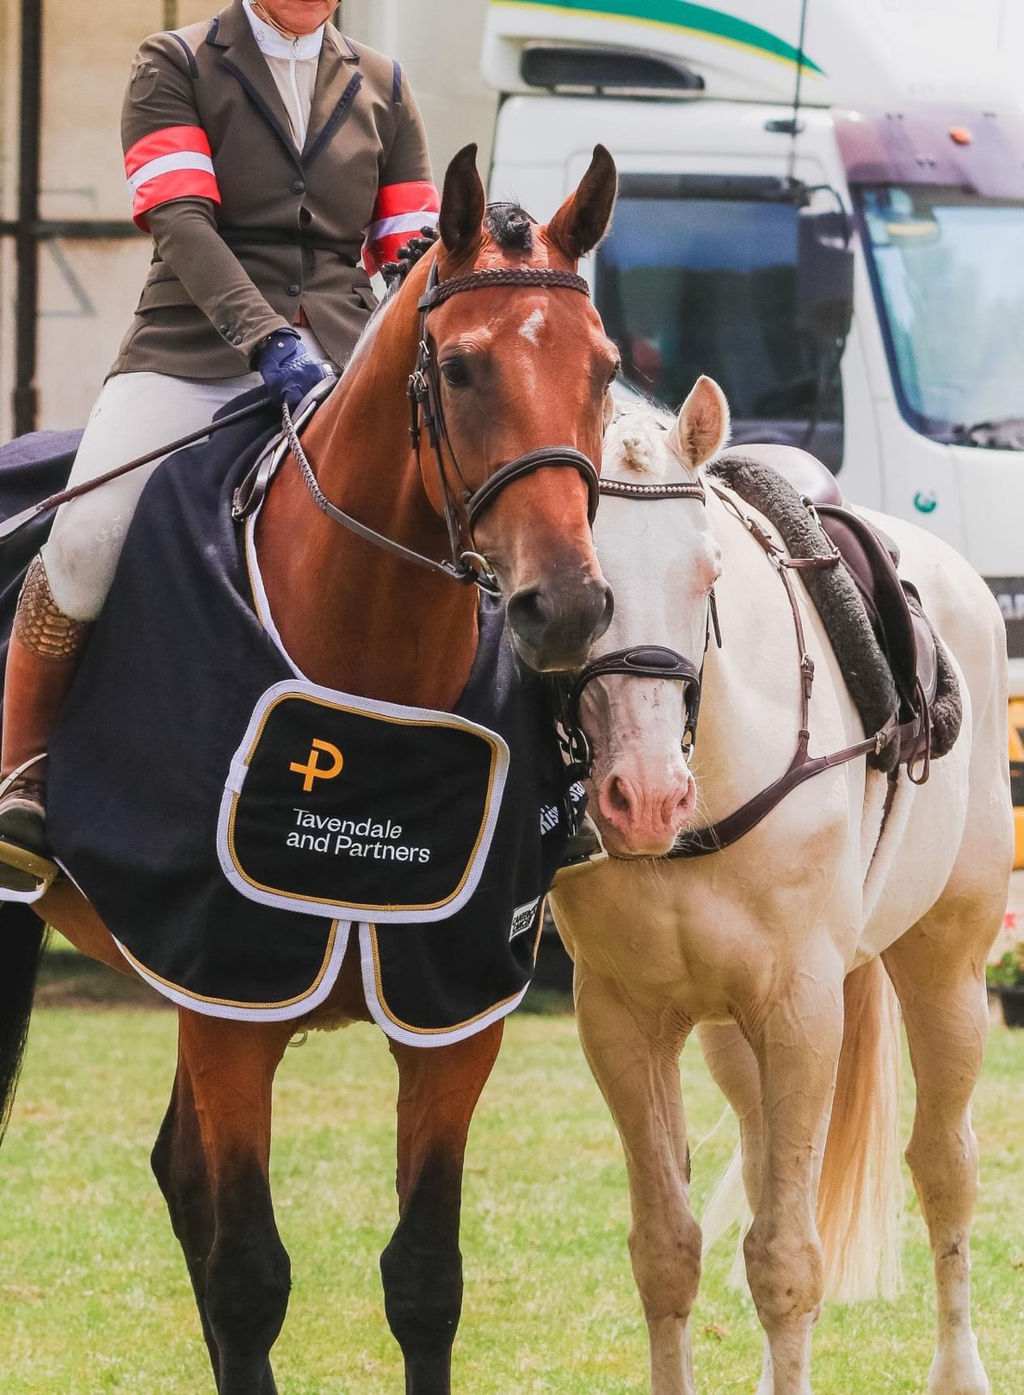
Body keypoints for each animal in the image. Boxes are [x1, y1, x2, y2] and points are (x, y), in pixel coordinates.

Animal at [0, 143, 620, 1394]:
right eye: (462, 369)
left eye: (607, 369)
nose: (567, 607)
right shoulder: (230, 994)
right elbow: (249, 1272)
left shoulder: (454, 1010)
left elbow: (424, 1277)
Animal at [550, 378, 1012, 1395]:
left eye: (708, 573)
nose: (645, 796)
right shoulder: (620, 1019)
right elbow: (667, 1249)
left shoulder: (802, 1008)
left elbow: (788, 1261)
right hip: (733, 1032)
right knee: (769, 1161)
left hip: (947, 967)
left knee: (944, 1165)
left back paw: (959, 1368)